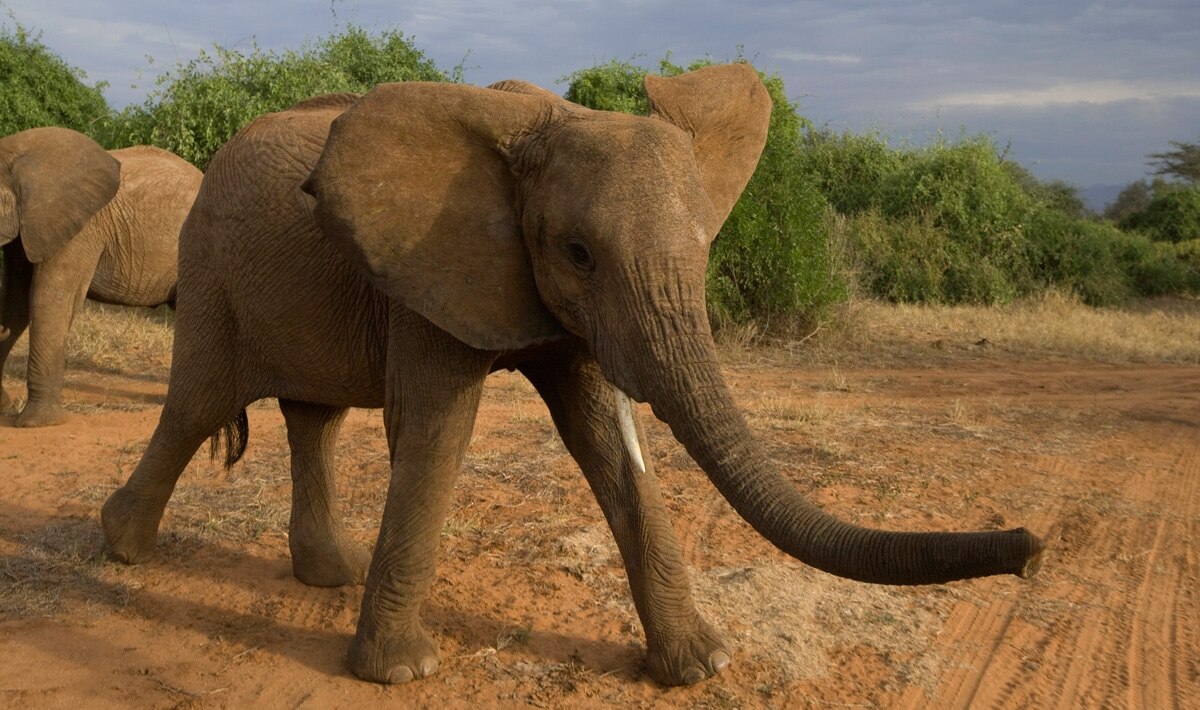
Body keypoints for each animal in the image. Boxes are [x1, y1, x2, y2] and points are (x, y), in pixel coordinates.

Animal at [100, 64, 1044, 687]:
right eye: (579, 253)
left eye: (704, 248)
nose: (1032, 549)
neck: (547, 122)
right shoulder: (432, 272)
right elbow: (437, 433)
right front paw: (400, 675)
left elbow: (600, 434)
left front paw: (702, 667)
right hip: (207, 266)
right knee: (196, 406)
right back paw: (121, 548)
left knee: (313, 420)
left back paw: (325, 576)